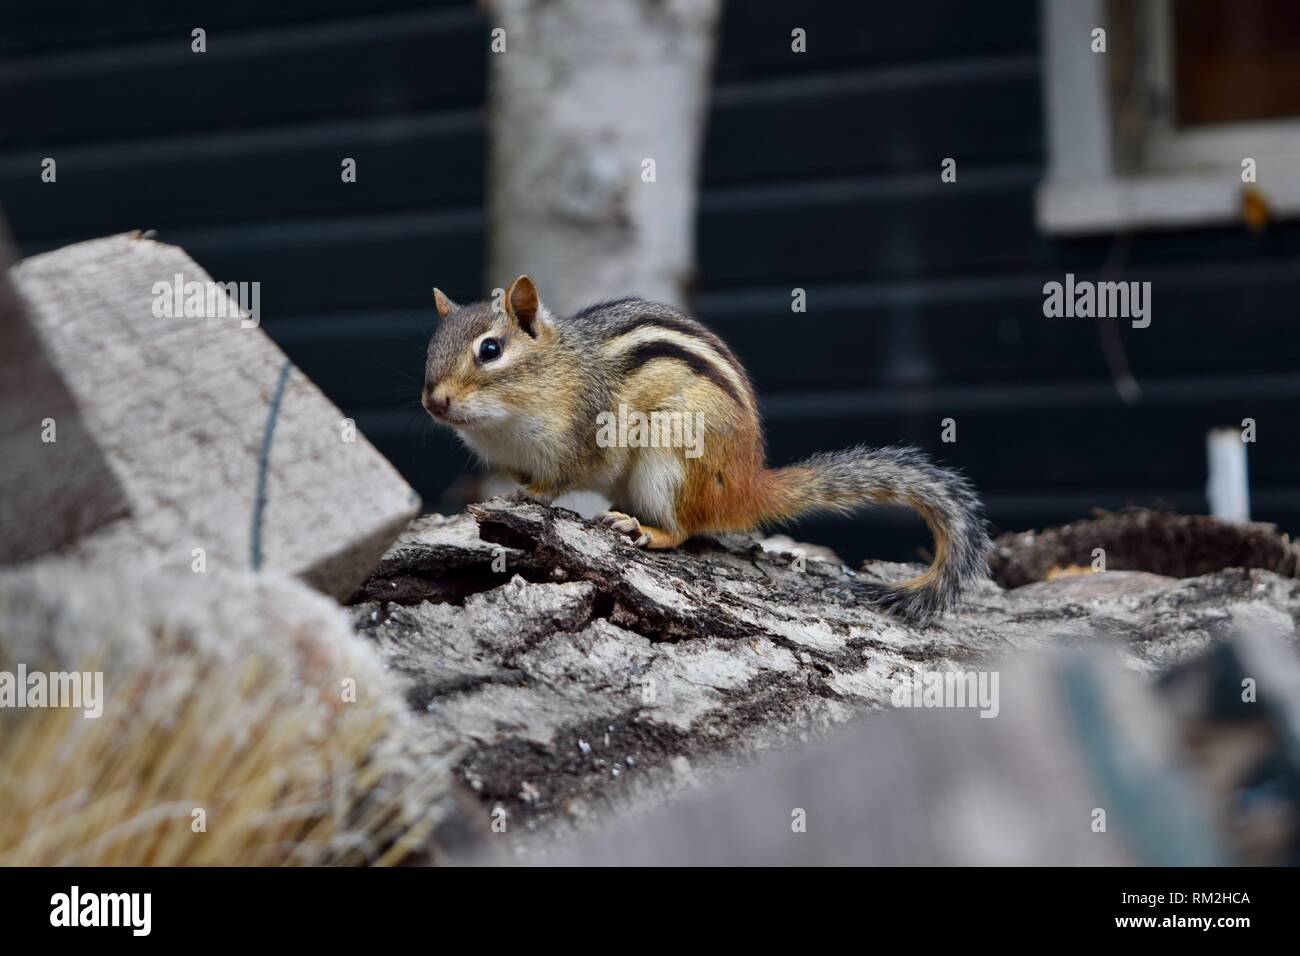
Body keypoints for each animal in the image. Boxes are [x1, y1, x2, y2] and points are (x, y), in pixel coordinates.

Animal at [423, 275, 991, 622]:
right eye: (430, 348)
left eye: (490, 350)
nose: (433, 401)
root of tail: (747, 484)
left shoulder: (586, 433)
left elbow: (564, 478)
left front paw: (531, 497)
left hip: (669, 458)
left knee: (682, 530)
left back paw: (644, 529)